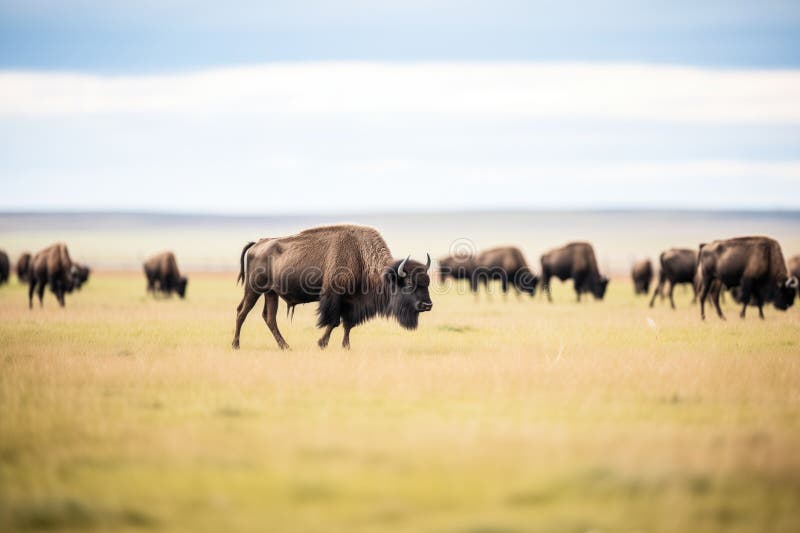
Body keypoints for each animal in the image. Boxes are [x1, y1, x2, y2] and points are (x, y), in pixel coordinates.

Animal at [232, 224, 433, 350]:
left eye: (428, 282)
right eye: (409, 283)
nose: (427, 305)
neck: (360, 256)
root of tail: (258, 243)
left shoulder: (352, 302)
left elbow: (347, 324)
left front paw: (346, 346)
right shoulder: (334, 297)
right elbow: (334, 322)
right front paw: (322, 343)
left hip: (271, 293)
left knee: (269, 318)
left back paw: (285, 346)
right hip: (254, 289)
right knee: (242, 311)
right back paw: (236, 345)